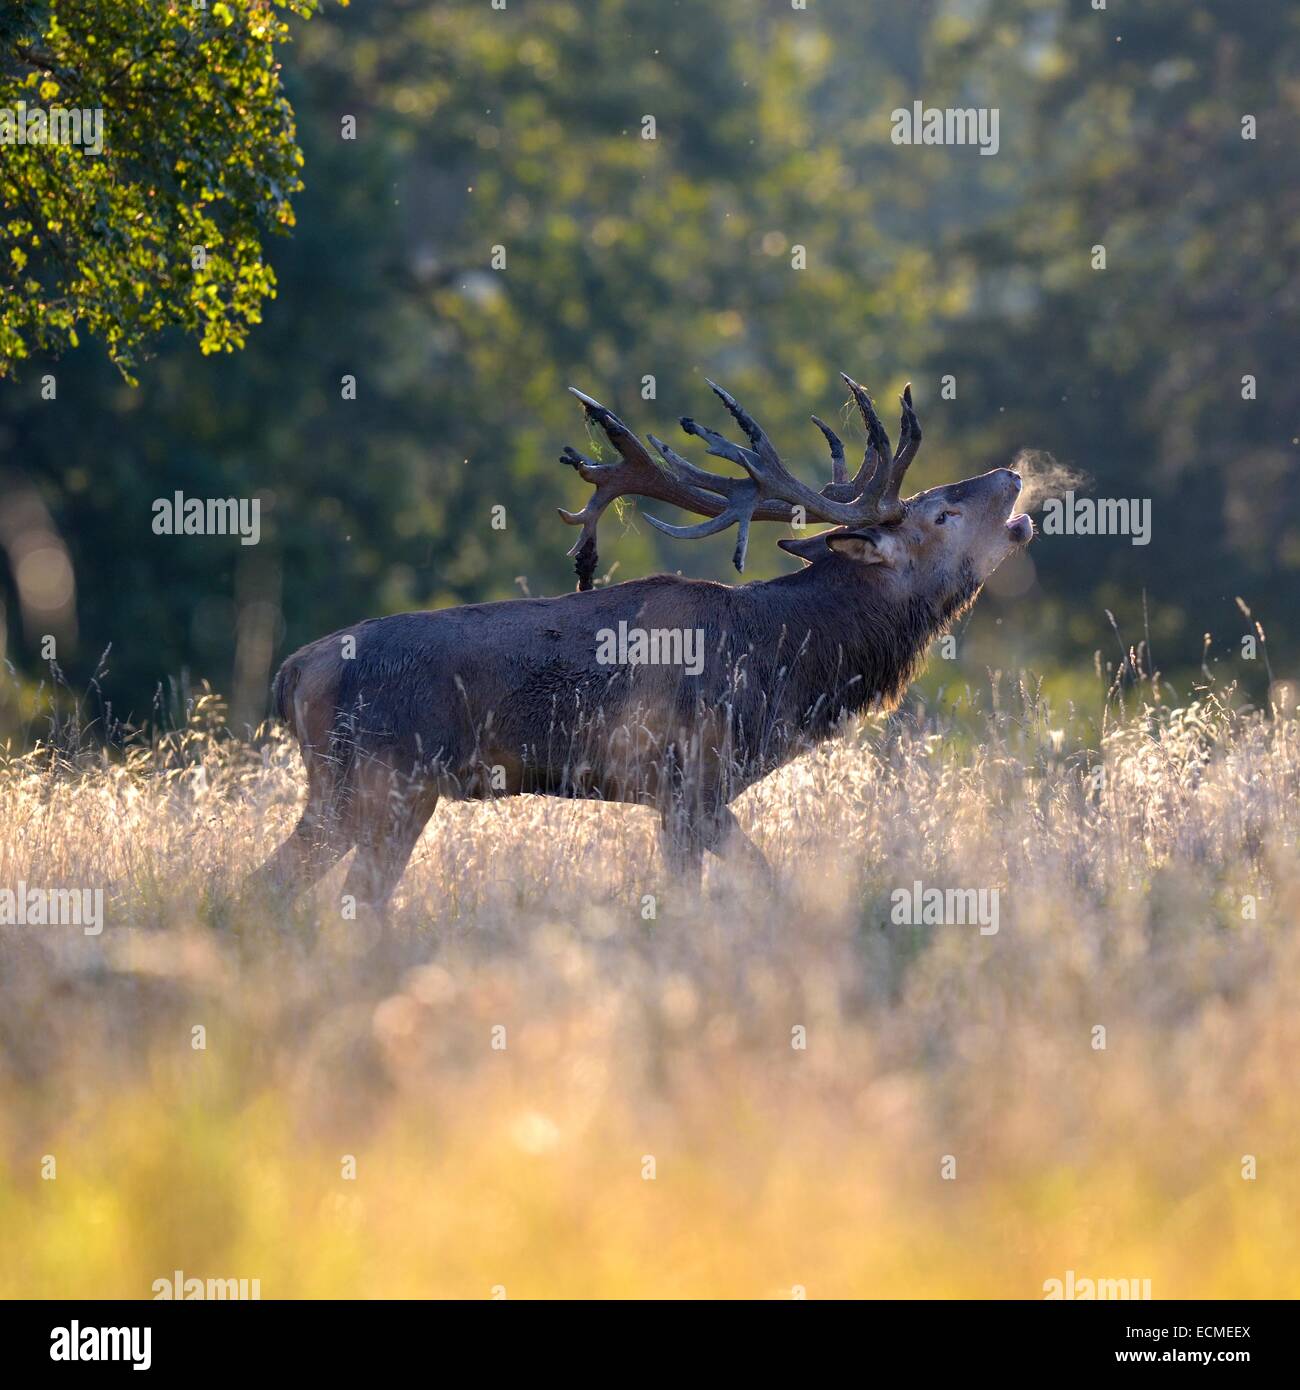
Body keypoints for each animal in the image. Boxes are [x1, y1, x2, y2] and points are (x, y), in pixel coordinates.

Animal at [249, 372, 1032, 911]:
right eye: (941, 511)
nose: (1013, 474)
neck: (784, 666)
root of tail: (294, 672)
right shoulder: (691, 781)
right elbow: (739, 884)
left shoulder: (678, 795)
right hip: (368, 777)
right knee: (282, 887)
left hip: (387, 790)